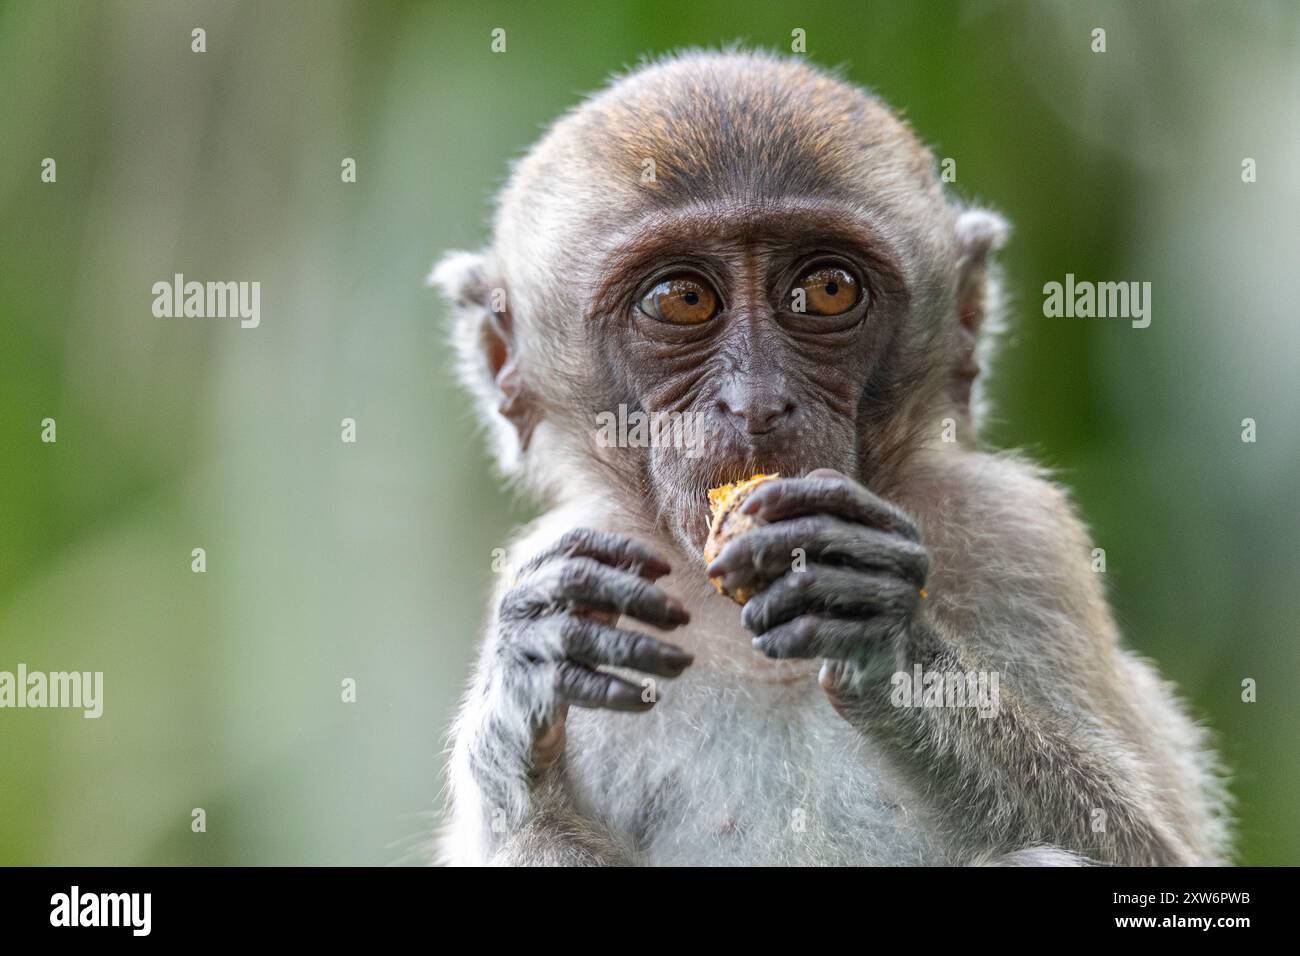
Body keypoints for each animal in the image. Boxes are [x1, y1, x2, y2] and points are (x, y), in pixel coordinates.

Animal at [430, 50, 1230, 866]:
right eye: (682, 299)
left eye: (828, 287)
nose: (757, 404)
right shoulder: (559, 549)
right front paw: (529, 673)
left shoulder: (1021, 537)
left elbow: (1145, 845)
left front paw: (879, 622)